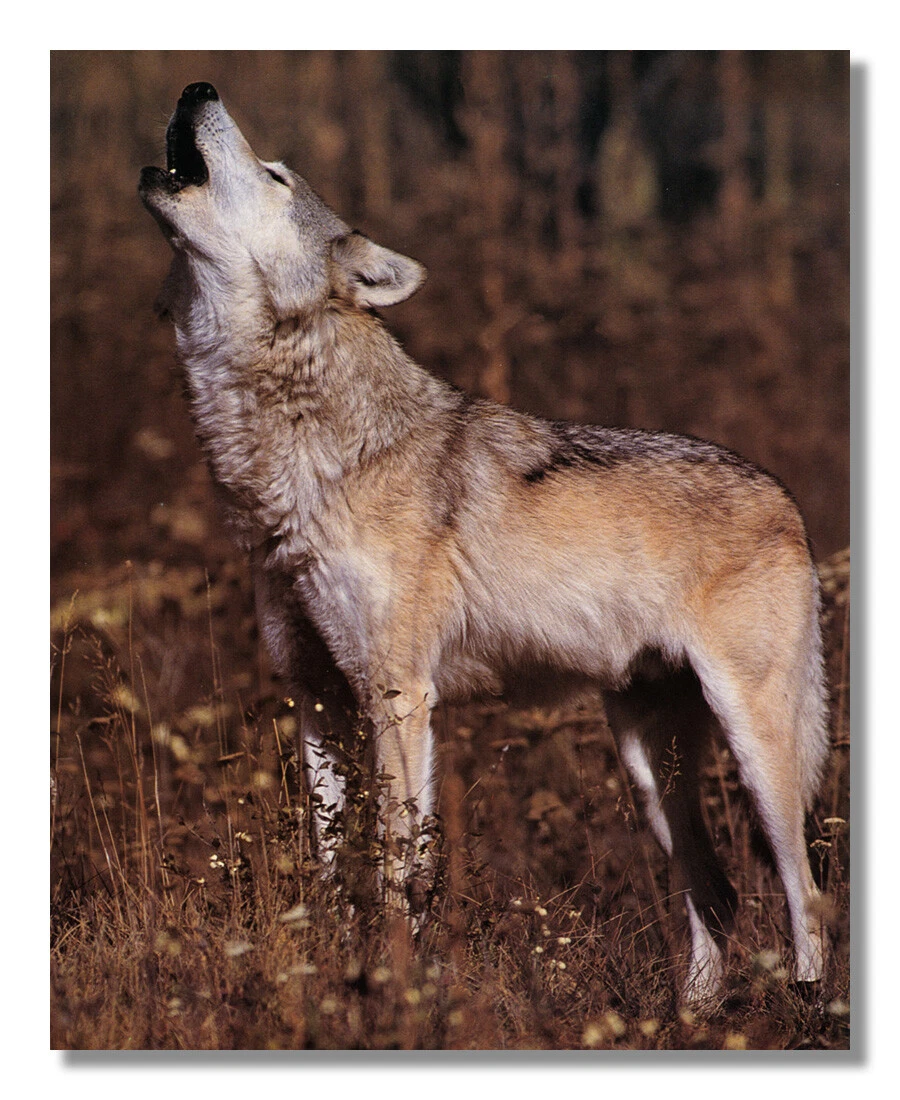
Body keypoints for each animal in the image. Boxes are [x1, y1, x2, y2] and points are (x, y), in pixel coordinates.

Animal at [140, 82, 829, 1004]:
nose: (198, 89)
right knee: (714, 894)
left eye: (277, 174)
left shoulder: (399, 696)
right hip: (648, 763)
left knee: (802, 888)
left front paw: (394, 996)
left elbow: (399, 874)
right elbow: (328, 867)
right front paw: (331, 980)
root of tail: (786, 496)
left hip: (754, 744)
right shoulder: (316, 696)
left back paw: (808, 1011)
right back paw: (693, 1019)